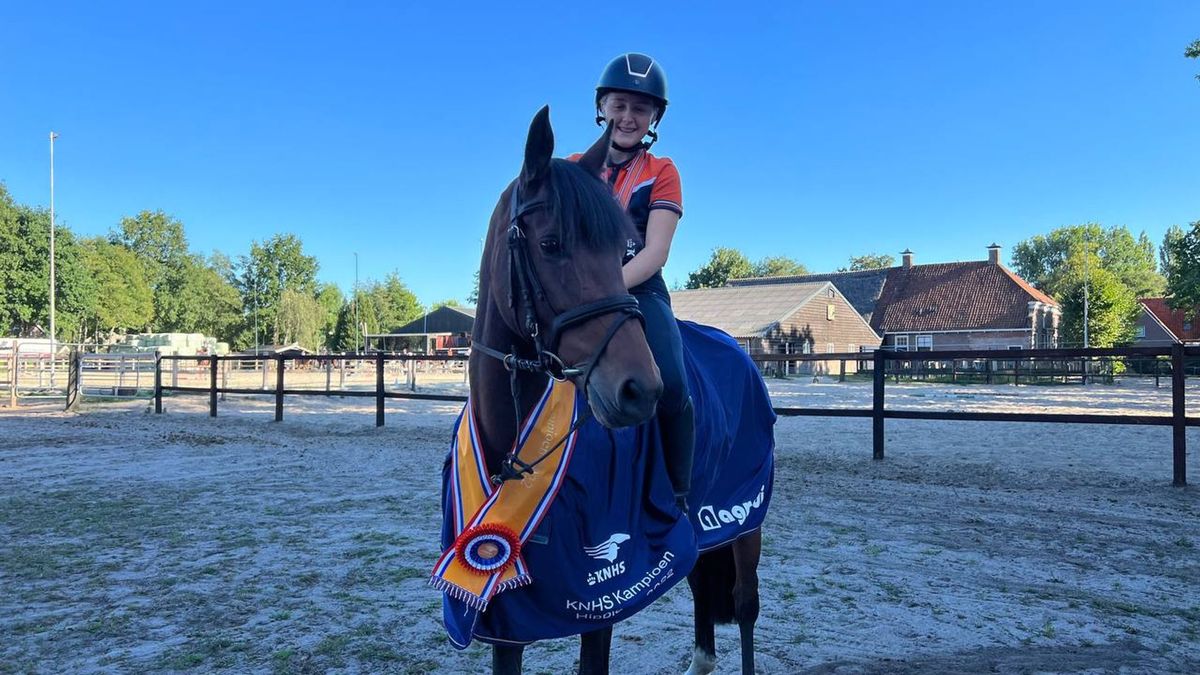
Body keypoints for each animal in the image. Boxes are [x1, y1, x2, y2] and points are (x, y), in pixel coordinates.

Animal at [433, 107, 774, 675]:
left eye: (620, 251)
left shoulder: (601, 598)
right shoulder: (502, 610)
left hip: (745, 518)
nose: (639, 390)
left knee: (745, 605)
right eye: (550, 244)